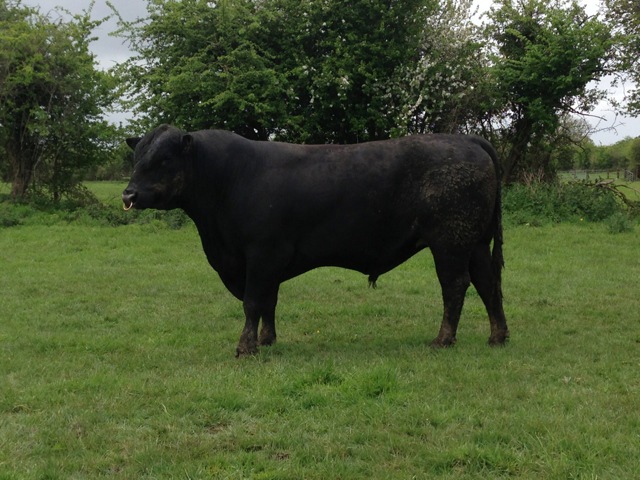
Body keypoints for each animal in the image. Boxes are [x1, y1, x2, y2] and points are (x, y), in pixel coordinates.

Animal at [122, 125, 509, 356]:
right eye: (137, 157)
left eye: (164, 159)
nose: (128, 194)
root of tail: (466, 139)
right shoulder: (265, 262)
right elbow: (268, 302)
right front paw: (267, 340)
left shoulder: (262, 254)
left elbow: (252, 302)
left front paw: (246, 347)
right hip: (475, 243)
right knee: (488, 284)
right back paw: (497, 336)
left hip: (450, 241)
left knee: (455, 286)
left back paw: (443, 339)